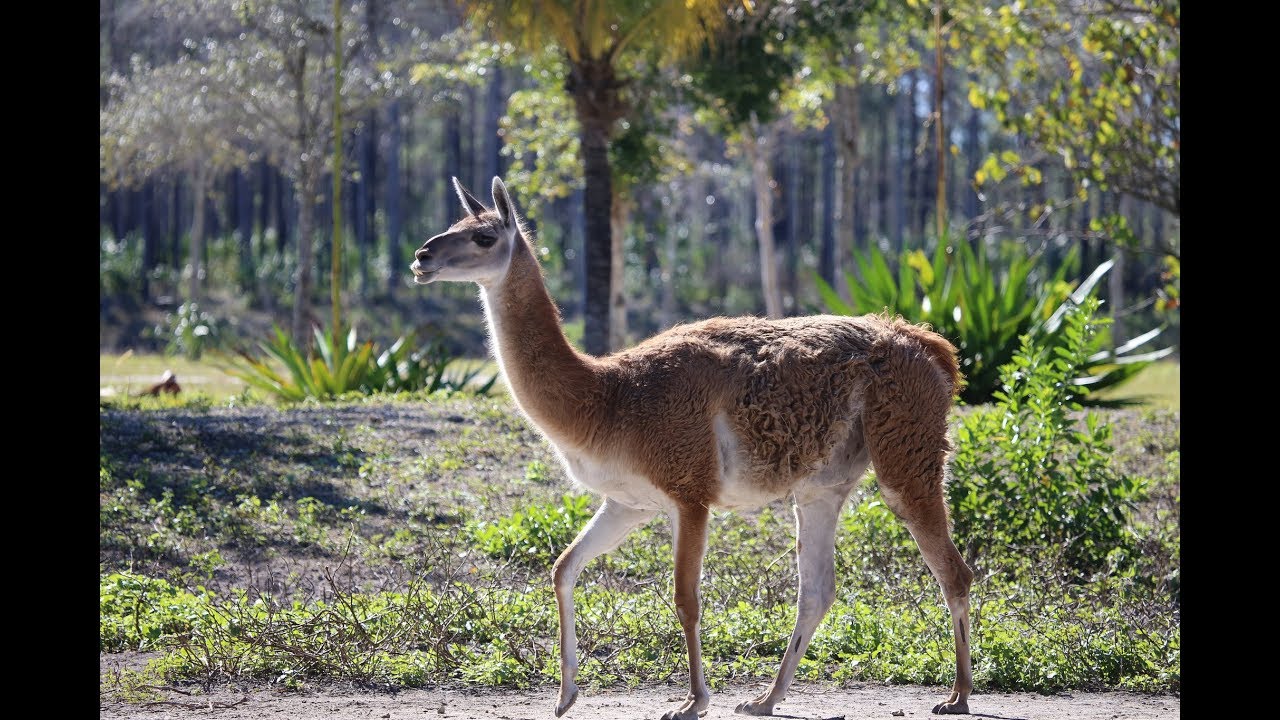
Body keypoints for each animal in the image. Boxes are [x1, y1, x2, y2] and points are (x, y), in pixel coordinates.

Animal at [411, 177, 974, 718]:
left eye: (484, 237)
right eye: (455, 224)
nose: (421, 256)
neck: (610, 397)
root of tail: (928, 343)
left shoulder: (690, 492)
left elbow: (686, 599)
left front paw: (692, 702)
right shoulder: (628, 503)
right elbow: (563, 568)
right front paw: (565, 695)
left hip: (906, 454)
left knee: (954, 572)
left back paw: (959, 696)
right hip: (821, 488)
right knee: (816, 591)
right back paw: (765, 700)